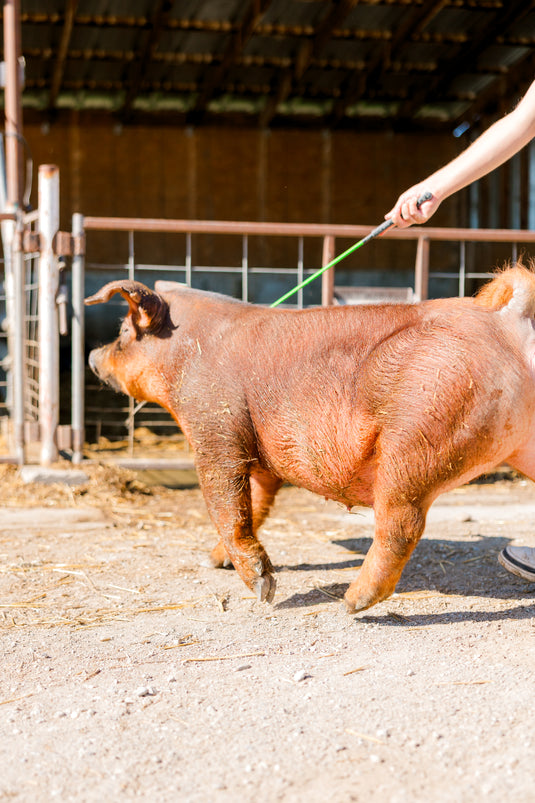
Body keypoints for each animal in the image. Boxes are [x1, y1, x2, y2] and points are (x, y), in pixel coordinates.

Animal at [86, 264, 535, 613]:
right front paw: (214, 562)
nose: (91, 356)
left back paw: (352, 605)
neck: (184, 354)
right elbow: (255, 504)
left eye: (124, 331)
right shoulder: (260, 457)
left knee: (400, 523)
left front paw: (264, 591)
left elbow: (225, 505)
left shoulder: (215, 429)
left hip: (416, 440)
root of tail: (507, 322)